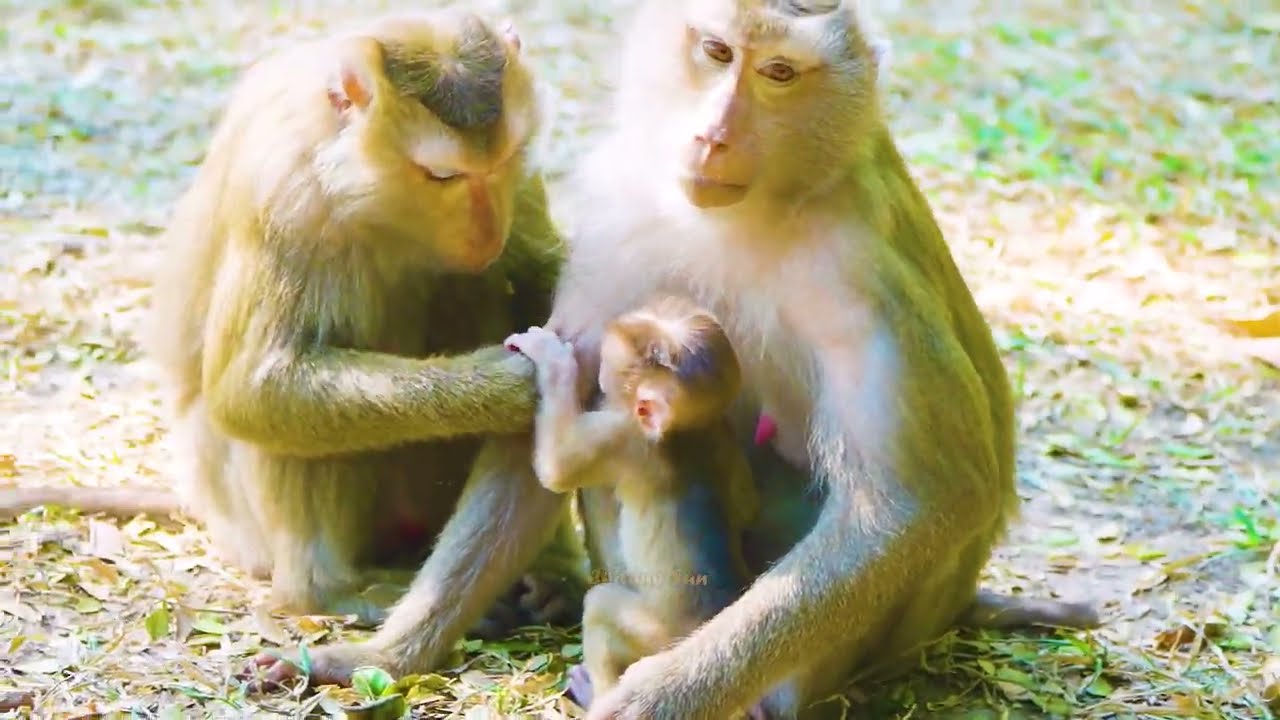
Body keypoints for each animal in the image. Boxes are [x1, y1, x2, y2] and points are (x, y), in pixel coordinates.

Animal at [0, 9, 595, 687]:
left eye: (503, 162)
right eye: (442, 176)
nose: (486, 230)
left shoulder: (520, 186)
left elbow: (536, 278)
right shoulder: (284, 192)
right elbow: (256, 387)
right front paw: (510, 386)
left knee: (480, 285)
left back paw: (550, 579)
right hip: (244, 516)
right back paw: (330, 588)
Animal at [503, 297, 767, 718]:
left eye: (610, 365)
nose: (599, 373)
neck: (684, 433)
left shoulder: (622, 437)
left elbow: (557, 468)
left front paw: (551, 358)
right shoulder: (723, 434)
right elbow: (745, 505)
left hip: (657, 638)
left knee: (600, 606)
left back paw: (595, 694)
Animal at [532, 1, 1102, 717]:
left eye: (780, 72)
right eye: (717, 51)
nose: (714, 137)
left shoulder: (855, 268)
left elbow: (915, 502)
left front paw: (664, 694)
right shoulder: (618, 201)